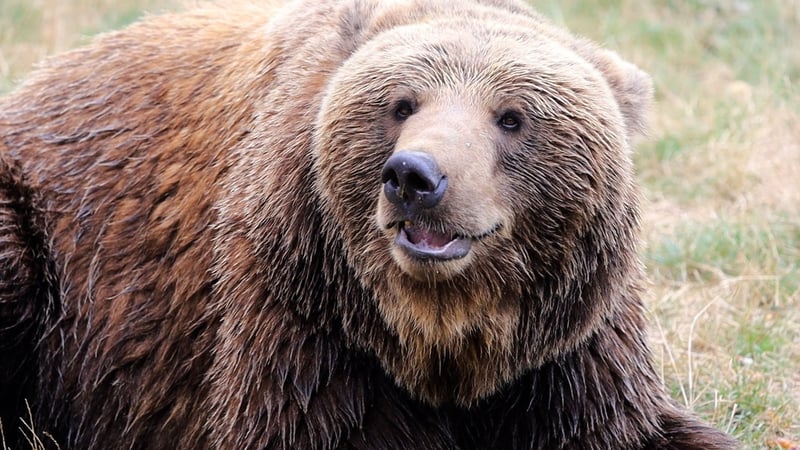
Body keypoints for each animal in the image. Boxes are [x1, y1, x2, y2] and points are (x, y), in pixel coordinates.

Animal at [0, 0, 738, 448]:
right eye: (402, 104)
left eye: (511, 117)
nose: (416, 177)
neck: (438, 336)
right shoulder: (304, 317)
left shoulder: (567, 349)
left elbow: (631, 425)